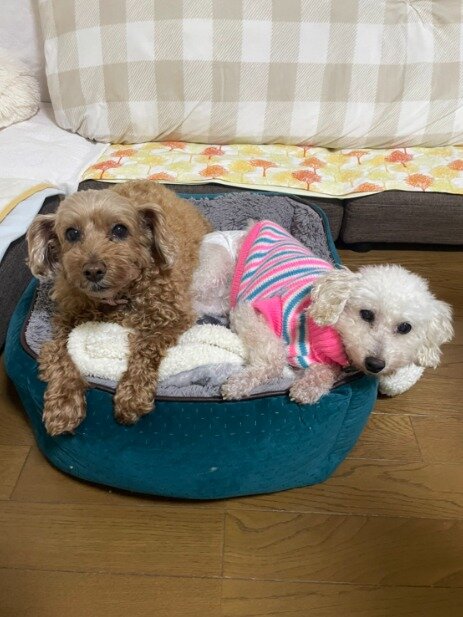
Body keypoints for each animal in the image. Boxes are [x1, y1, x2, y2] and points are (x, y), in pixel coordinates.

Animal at [27, 181, 211, 435]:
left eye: (120, 230)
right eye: (72, 233)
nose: (93, 270)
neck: (118, 296)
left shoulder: (173, 317)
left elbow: (146, 346)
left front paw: (132, 395)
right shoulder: (64, 324)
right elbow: (59, 354)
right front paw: (63, 403)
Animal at [192, 221, 453, 403]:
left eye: (405, 328)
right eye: (366, 314)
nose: (375, 364)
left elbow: (326, 372)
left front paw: (310, 388)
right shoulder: (250, 311)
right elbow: (274, 358)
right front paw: (240, 384)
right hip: (214, 270)